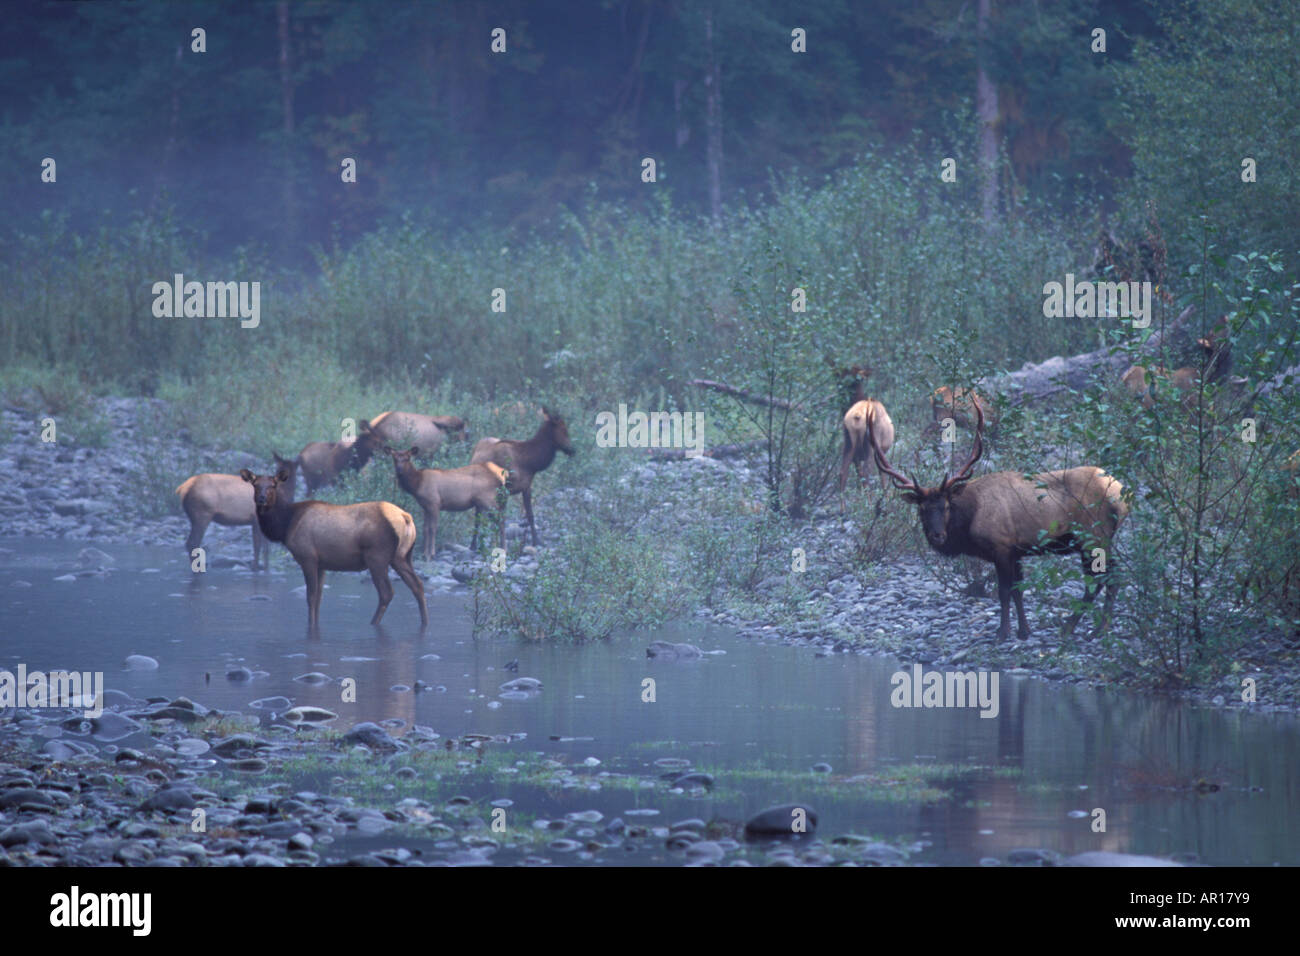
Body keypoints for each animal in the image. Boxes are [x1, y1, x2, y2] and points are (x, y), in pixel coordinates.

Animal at [239, 466, 428, 629]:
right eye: (255, 485)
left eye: (273, 485)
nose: (261, 499)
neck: (285, 526)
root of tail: (406, 517)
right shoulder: (322, 564)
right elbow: (319, 599)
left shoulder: (308, 557)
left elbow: (311, 597)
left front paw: (310, 626)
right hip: (402, 556)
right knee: (417, 585)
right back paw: (425, 622)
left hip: (377, 556)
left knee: (387, 592)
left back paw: (373, 623)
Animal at [470, 406, 574, 548]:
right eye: (564, 430)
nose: (573, 450)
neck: (529, 463)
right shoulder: (505, 490)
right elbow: (501, 518)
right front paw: (501, 544)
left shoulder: (526, 486)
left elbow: (530, 515)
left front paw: (536, 541)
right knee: (478, 514)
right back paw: (474, 544)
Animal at [868, 403, 1129, 642]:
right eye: (922, 508)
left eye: (946, 506)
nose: (937, 536)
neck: (970, 519)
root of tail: (1121, 495)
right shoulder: (1017, 551)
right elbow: (1018, 591)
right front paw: (1024, 631)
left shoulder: (1001, 547)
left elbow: (1004, 592)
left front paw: (1002, 633)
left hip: (1093, 538)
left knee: (1105, 578)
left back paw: (1086, 628)